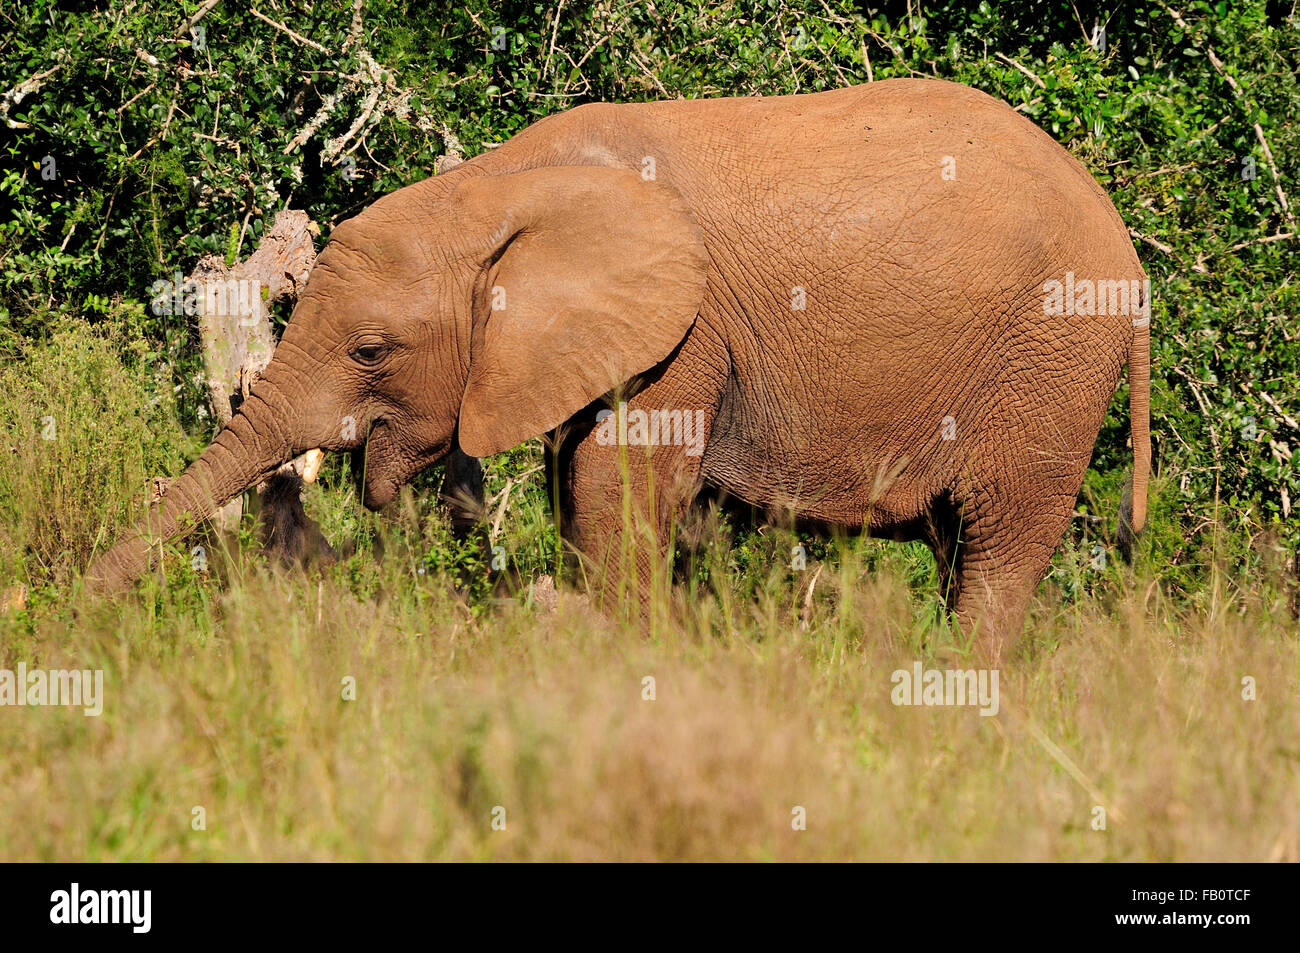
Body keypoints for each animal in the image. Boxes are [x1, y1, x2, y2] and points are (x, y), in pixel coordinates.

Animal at [88, 78, 1150, 662]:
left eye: (370, 350)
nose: (75, 604)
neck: (495, 188)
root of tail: (1130, 254)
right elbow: (575, 480)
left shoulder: (687, 330)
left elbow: (615, 485)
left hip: (1051, 361)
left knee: (998, 553)